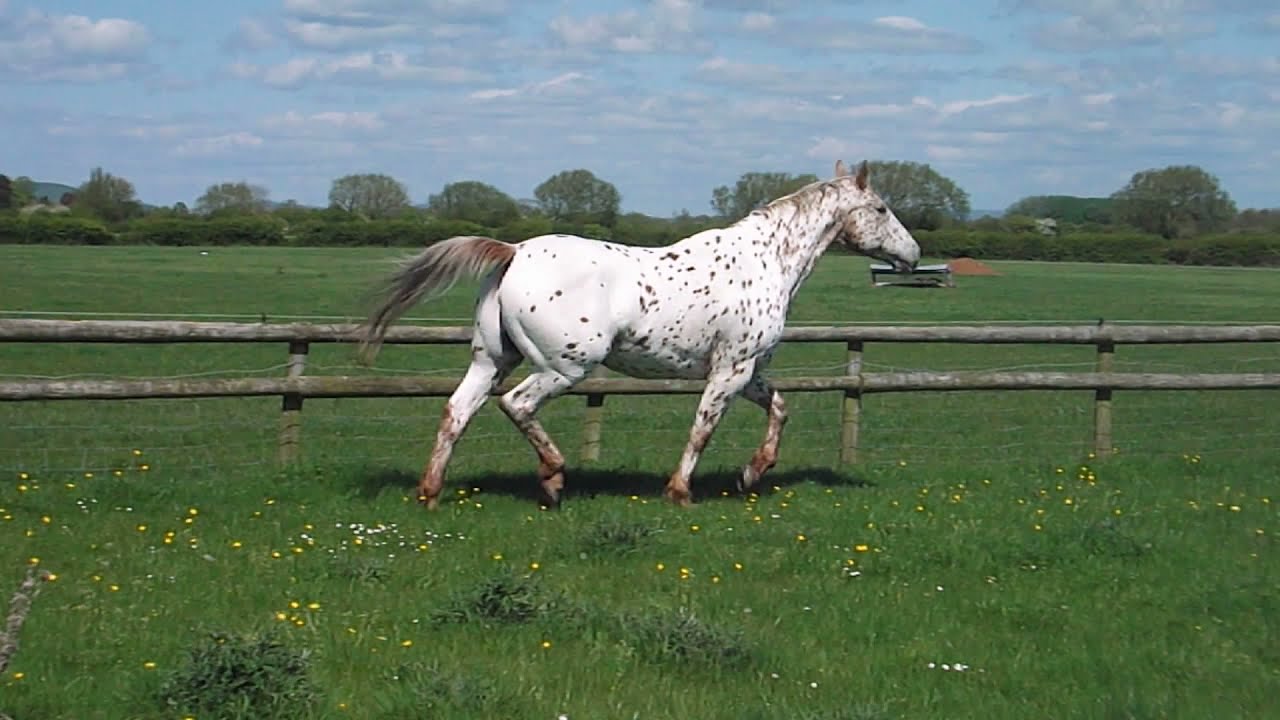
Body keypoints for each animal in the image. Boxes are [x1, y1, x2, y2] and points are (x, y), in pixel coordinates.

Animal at [357, 159, 921, 509]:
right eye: (881, 209)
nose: (913, 254)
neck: (766, 261)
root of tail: (514, 251)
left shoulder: (748, 371)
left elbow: (780, 410)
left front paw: (752, 473)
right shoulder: (730, 371)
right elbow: (703, 428)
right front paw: (681, 492)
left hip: (492, 359)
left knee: (456, 412)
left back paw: (430, 492)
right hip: (565, 366)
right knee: (516, 405)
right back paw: (554, 479)